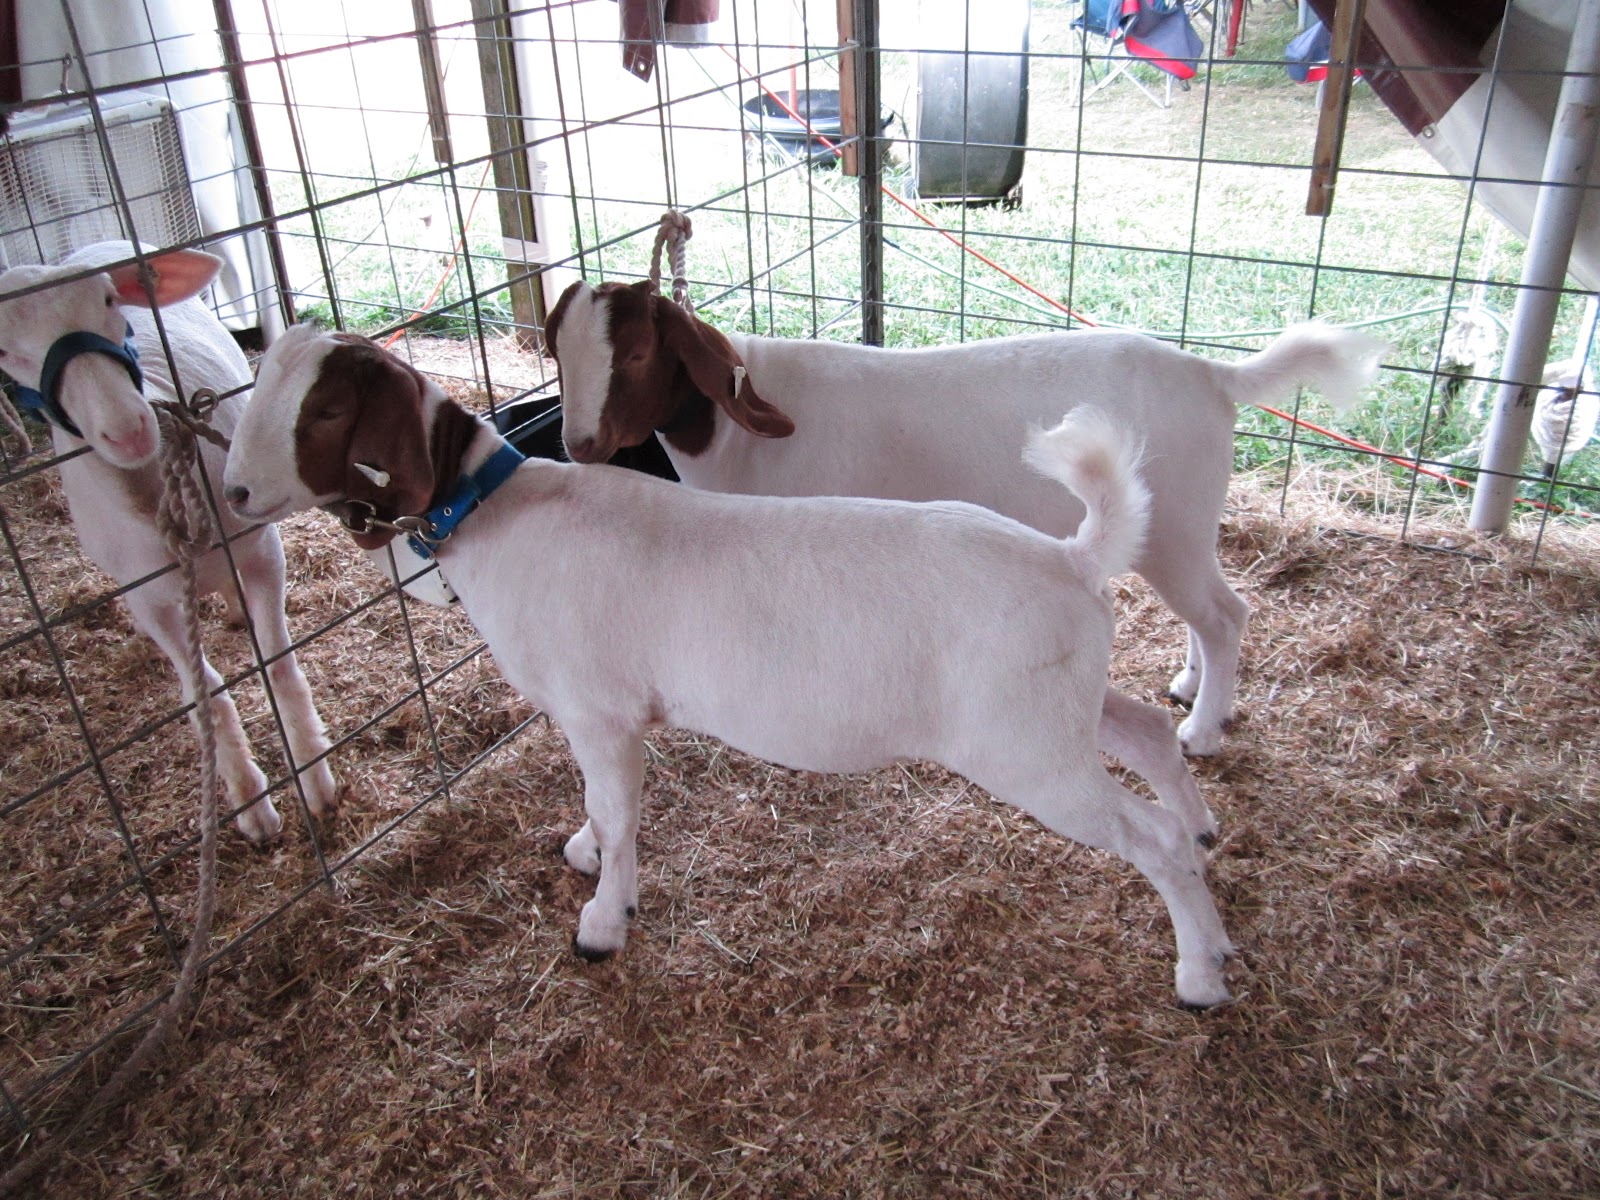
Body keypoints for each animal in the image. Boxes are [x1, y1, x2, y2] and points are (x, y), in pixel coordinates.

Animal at [0, 242, 337, 841]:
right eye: (4, 351)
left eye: (110, 300)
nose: (127, 428)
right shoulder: (150, 600)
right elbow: (206, 695)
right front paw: (251, 805)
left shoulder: (261, 550)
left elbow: (278, 664)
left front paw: (315, 781)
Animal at [220, 325, 1236, 1007]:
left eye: (326, 408)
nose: (232, 492)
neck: (497, 510)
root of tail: (1074, 557)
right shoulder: (595, 720)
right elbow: (599, 807)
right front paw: (585, 853)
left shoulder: (600, 711)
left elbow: (621, 816)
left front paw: (603, 923)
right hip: (1055, 708)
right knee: (1147, 731)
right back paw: (1211, 881)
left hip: (1025, 747)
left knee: (1147, 838)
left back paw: (1198, 974)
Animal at [545, 280, 1387, 756]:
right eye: (558, 350)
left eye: (639, 354)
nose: (578, 443)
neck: (731, 439)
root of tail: (1213, 376)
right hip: (1172, 528)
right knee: (1205, 611)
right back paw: (1185, 683)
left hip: (1179, 519)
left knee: (1226, 614)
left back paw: (1203, 731)